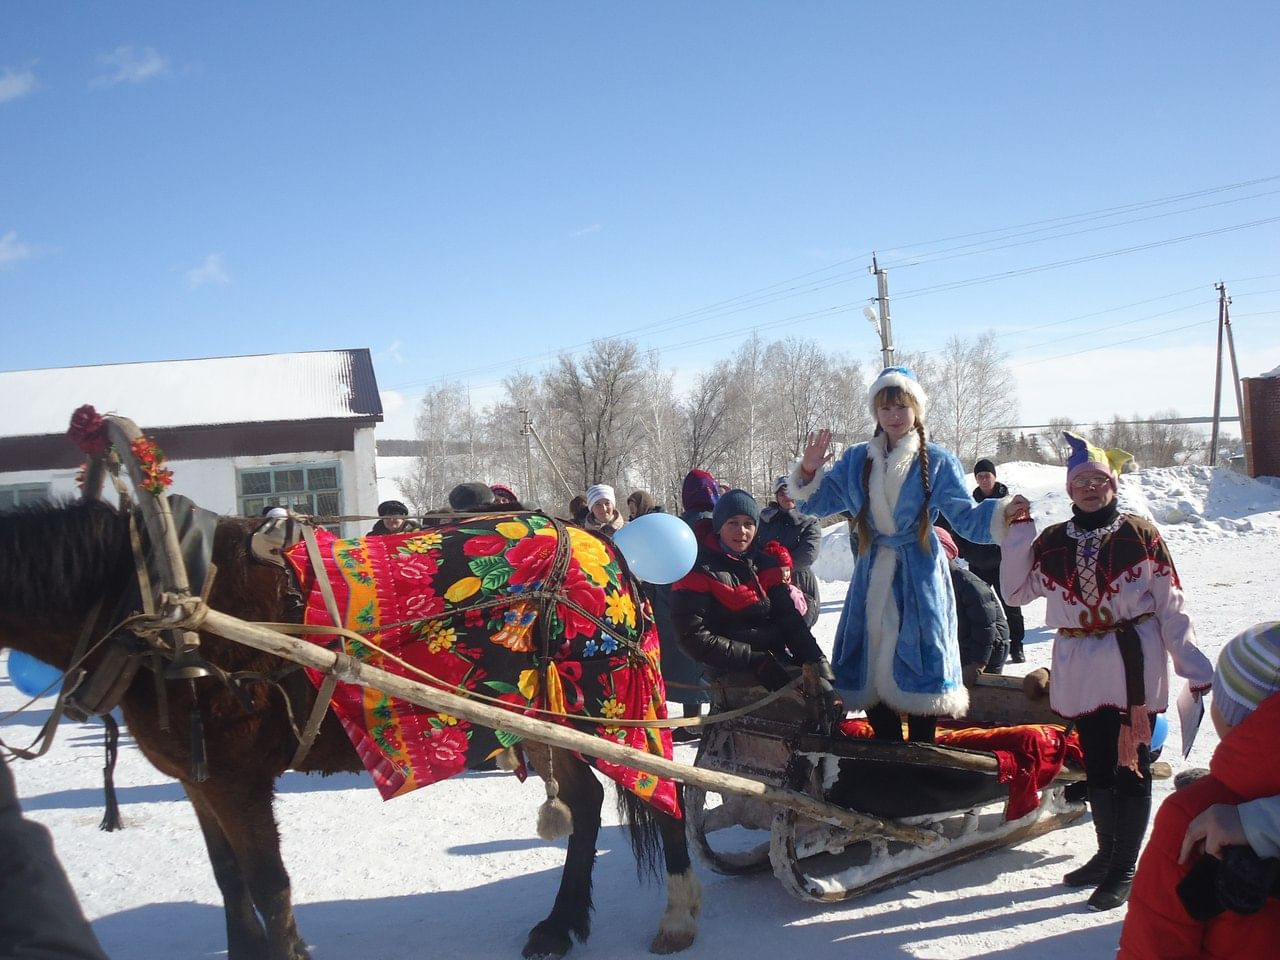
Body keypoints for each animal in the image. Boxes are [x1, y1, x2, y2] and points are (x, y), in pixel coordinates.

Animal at [0, 504, 701, 960]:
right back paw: (558, 926)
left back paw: (677, 915)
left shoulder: (237, 781)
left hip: (610, 708)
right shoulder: (200, 782)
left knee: (665, 791)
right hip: (547, 718)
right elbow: (229, 880)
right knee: (584, 804)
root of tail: (598, 541)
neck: (162, 604)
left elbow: (268, 885)